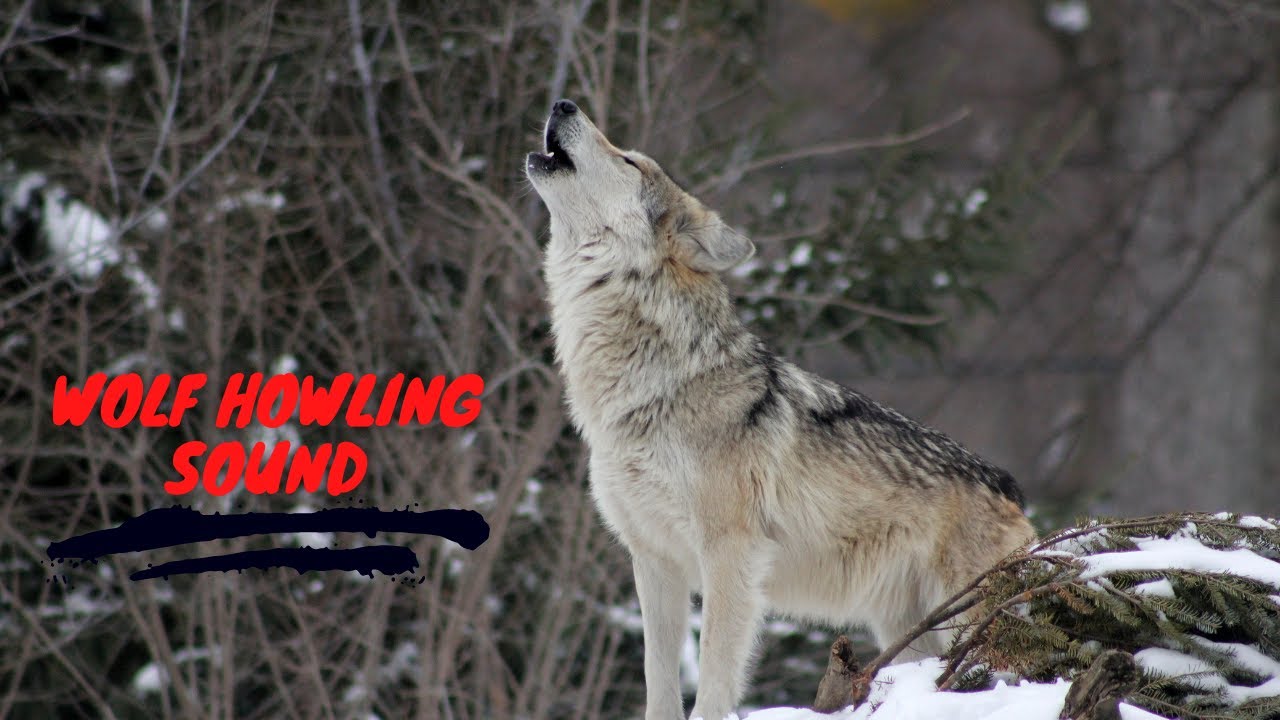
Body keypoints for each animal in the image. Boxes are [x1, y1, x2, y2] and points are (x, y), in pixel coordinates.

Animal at [526, 99, 1035, 720]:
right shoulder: (653, 560)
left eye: (629, 160)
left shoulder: (730, 555)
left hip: (965, 621)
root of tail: (1010, 486)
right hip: (909, 630)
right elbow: (658, 682)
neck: (649, 387)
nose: (563, 103)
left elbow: (714, 679)